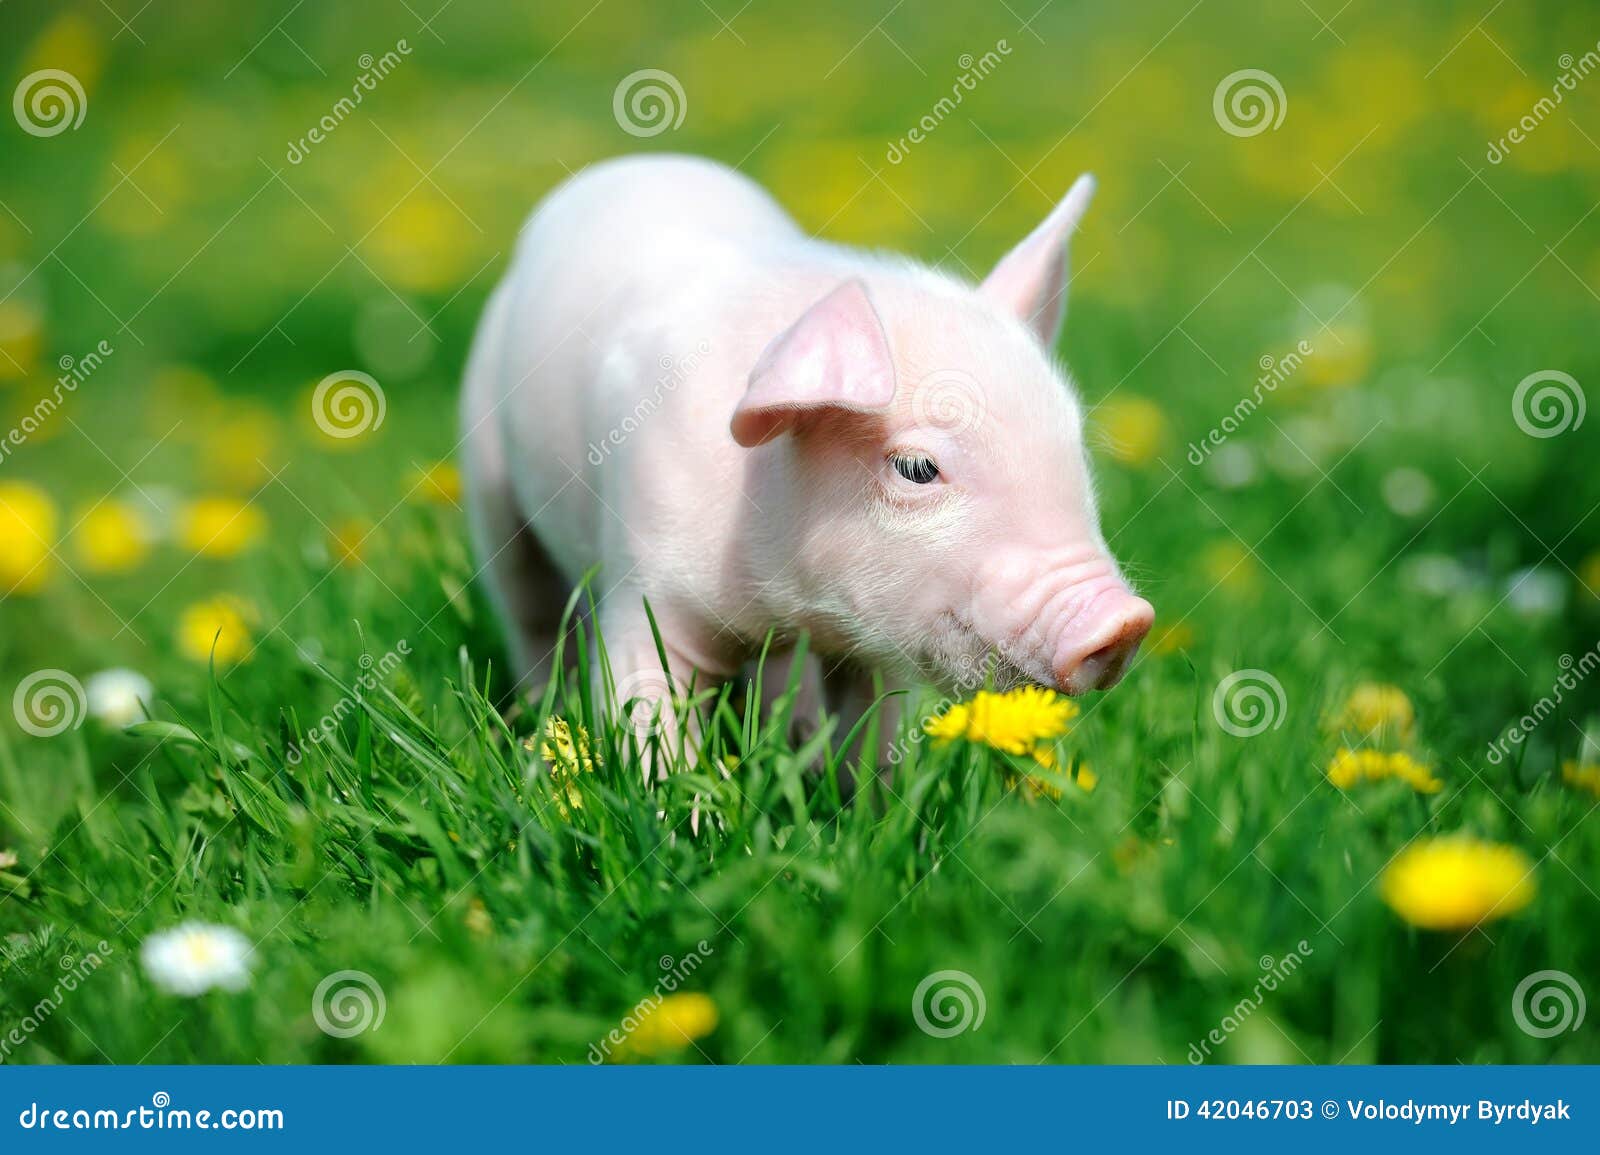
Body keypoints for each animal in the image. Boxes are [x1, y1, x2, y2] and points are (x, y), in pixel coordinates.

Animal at [460, 153, 1153, 745]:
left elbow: (869, 736)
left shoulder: (873, 644)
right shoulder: (643, 580)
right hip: (487, 475)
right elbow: (648, 710)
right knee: (529, 610)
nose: (1125, 622)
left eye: (1071, 447)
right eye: (916, 468)